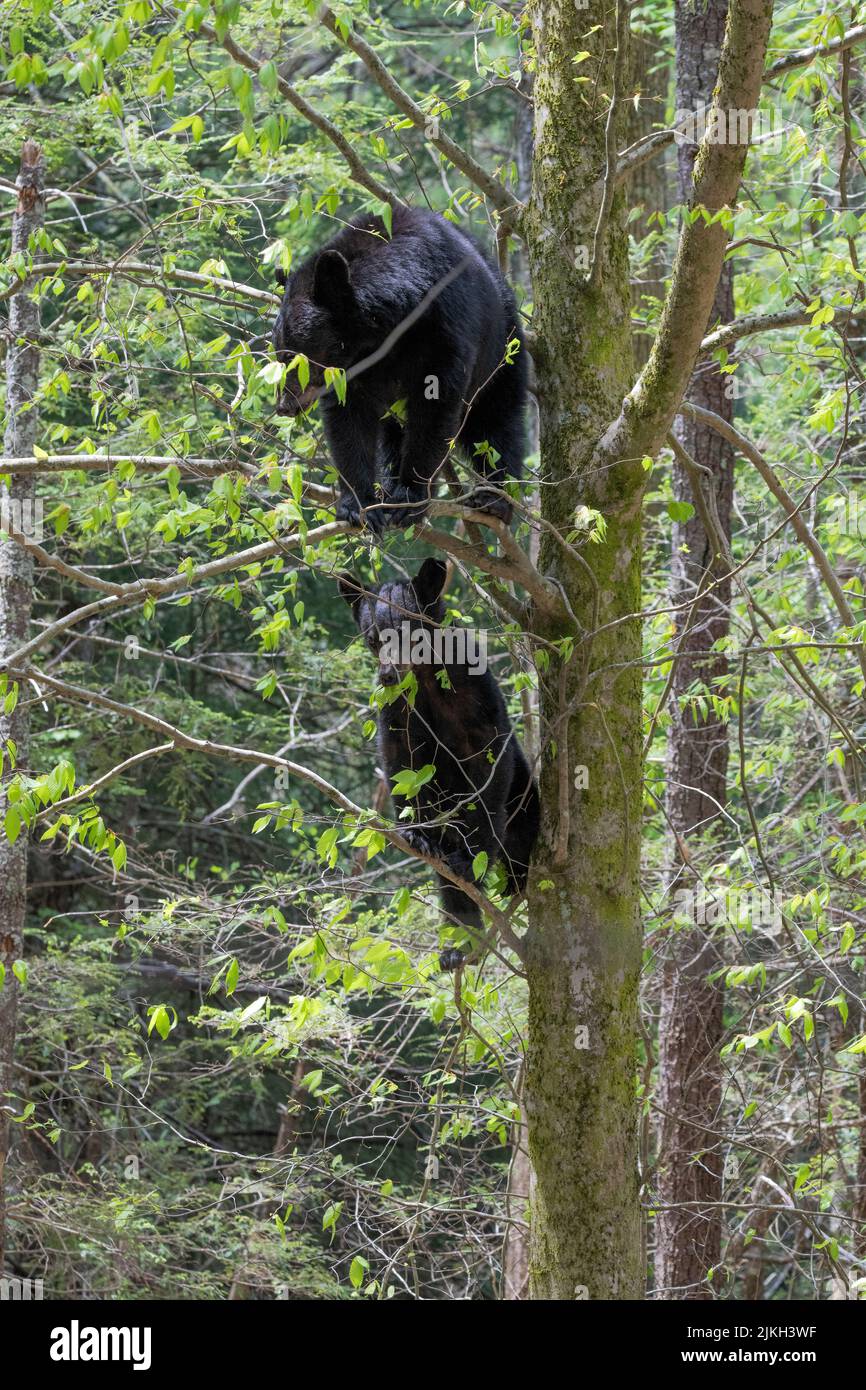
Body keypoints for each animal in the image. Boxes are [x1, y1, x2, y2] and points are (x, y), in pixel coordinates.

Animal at [273, 206, 528, 532]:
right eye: (279, 353)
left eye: (293, 357)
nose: (284, 405)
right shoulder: (348, 371)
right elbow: (349, 419)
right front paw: (359, 505)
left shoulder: (444, 327)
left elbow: (435, 406)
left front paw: (410, 498)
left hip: (503, 347)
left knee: (496, 418)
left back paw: (493, 498)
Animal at [340, 557, 539, 968]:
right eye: (372, 637)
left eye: (405, 631)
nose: (388, 674)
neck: (426, 677)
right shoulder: (397, 707)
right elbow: (401, 760)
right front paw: (415, 833)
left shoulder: (472, 691)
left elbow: (486, 759)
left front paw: (471, 857)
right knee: (450, 886)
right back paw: (459, 945)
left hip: (524, 793)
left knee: (522, 824)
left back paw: (514, 879)